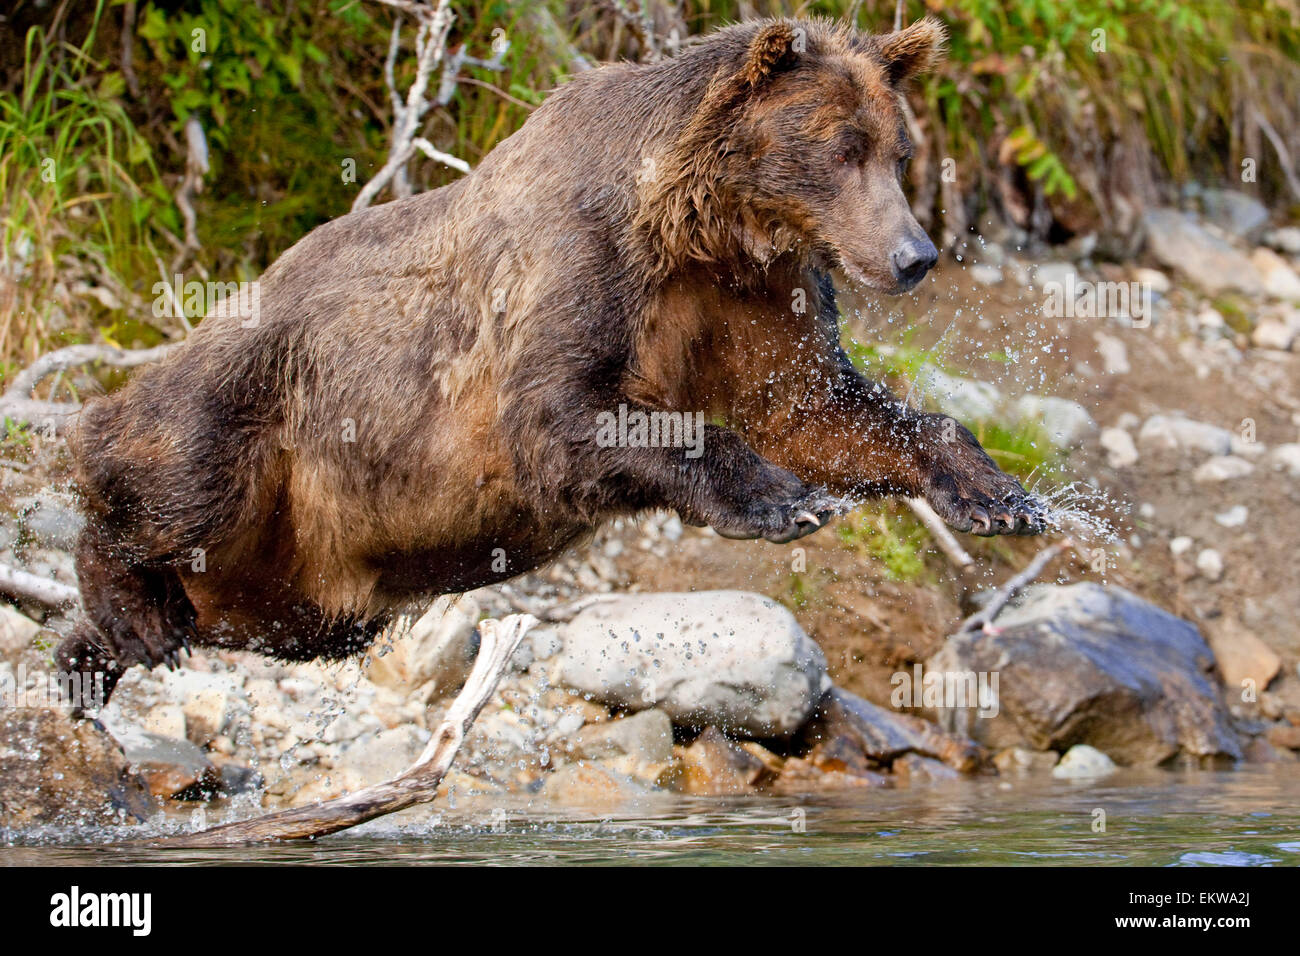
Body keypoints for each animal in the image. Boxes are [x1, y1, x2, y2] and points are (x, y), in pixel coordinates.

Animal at [56, 16, 1045, 704]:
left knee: (253, 611)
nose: (915, 255)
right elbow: (559, 415)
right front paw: (783, 499)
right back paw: (127, 604)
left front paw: (997, 492)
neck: (702, 228)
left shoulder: (755, 294)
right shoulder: (577, 264)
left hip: (300, 584)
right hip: (259, 398)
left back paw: (92, 655)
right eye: (842, 149)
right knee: (173, 474)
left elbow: (812, 407)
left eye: (898, 151)